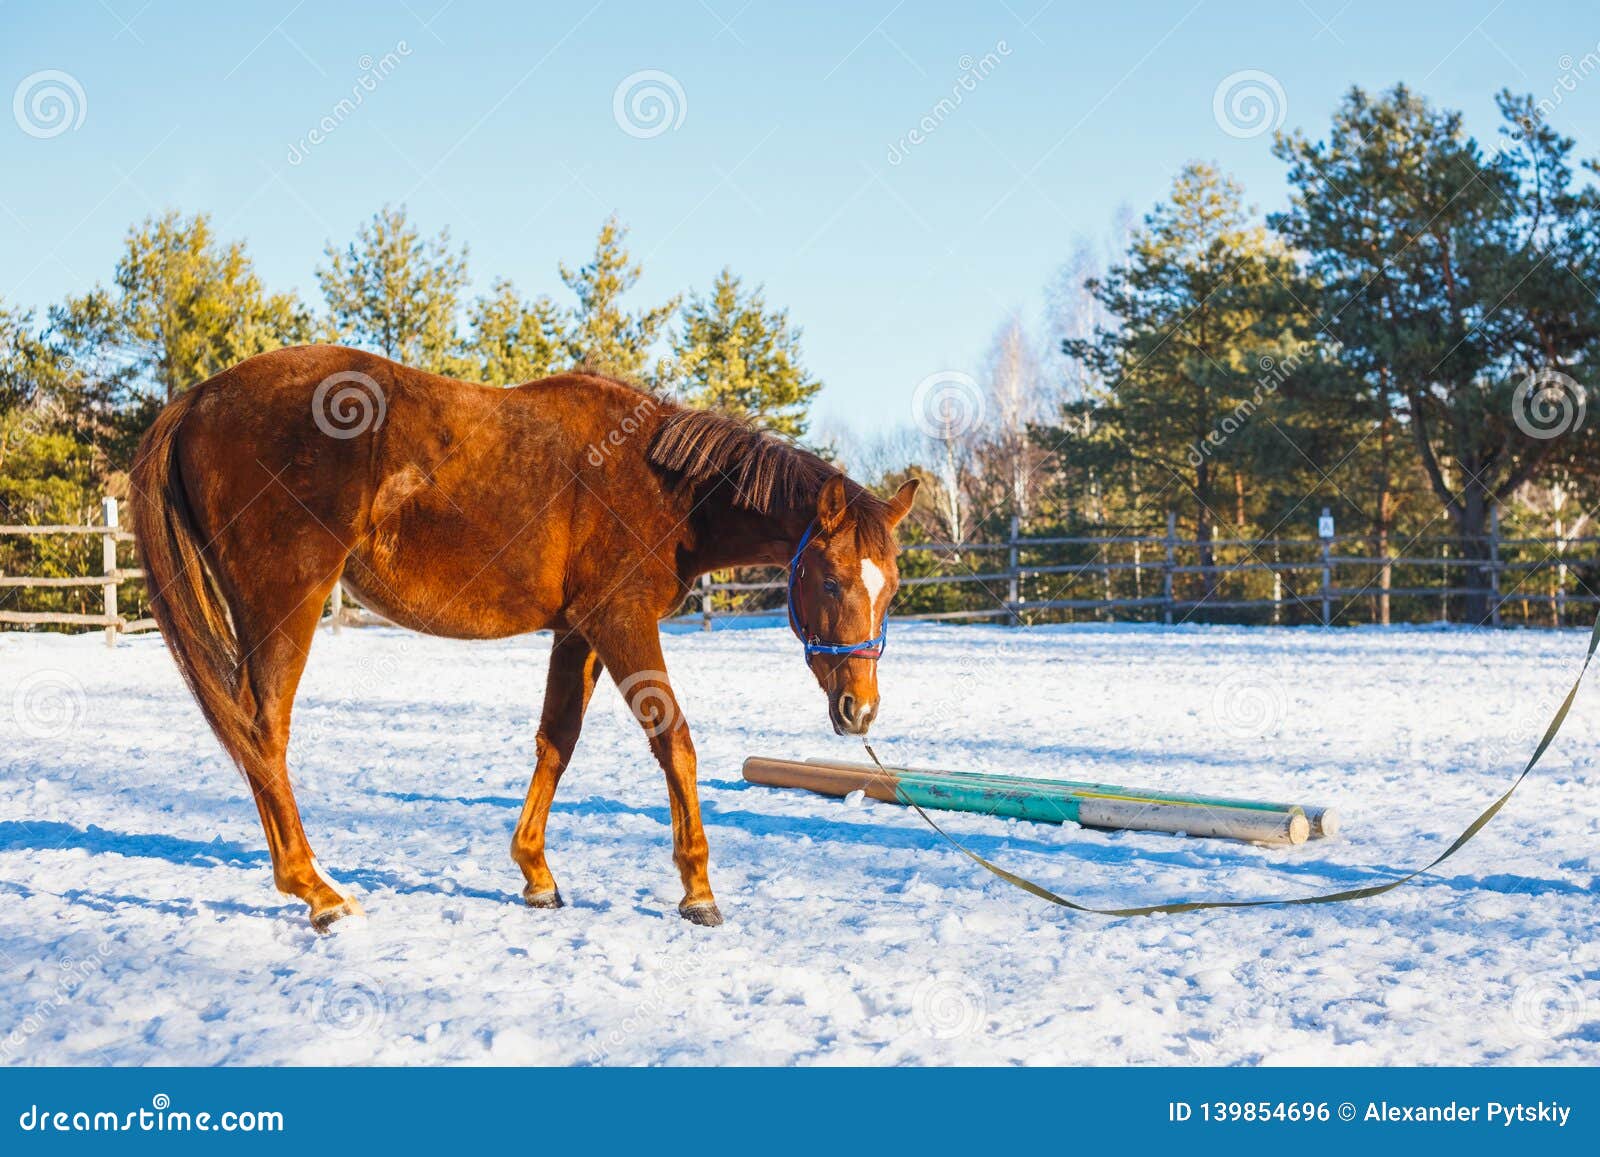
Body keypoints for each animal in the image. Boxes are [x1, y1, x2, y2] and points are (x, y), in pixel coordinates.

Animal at [129, 344, 919, 932]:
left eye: (889, 588)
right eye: (831, 582)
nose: (860, 711)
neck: (661, 484)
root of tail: (198, 399)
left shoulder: (577, 632)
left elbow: (555, 743)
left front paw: (536, 872)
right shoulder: (622, 621)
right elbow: (676, 742)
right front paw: (697, 888)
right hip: (285, 605)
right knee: (264, 733)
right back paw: (317, 892)